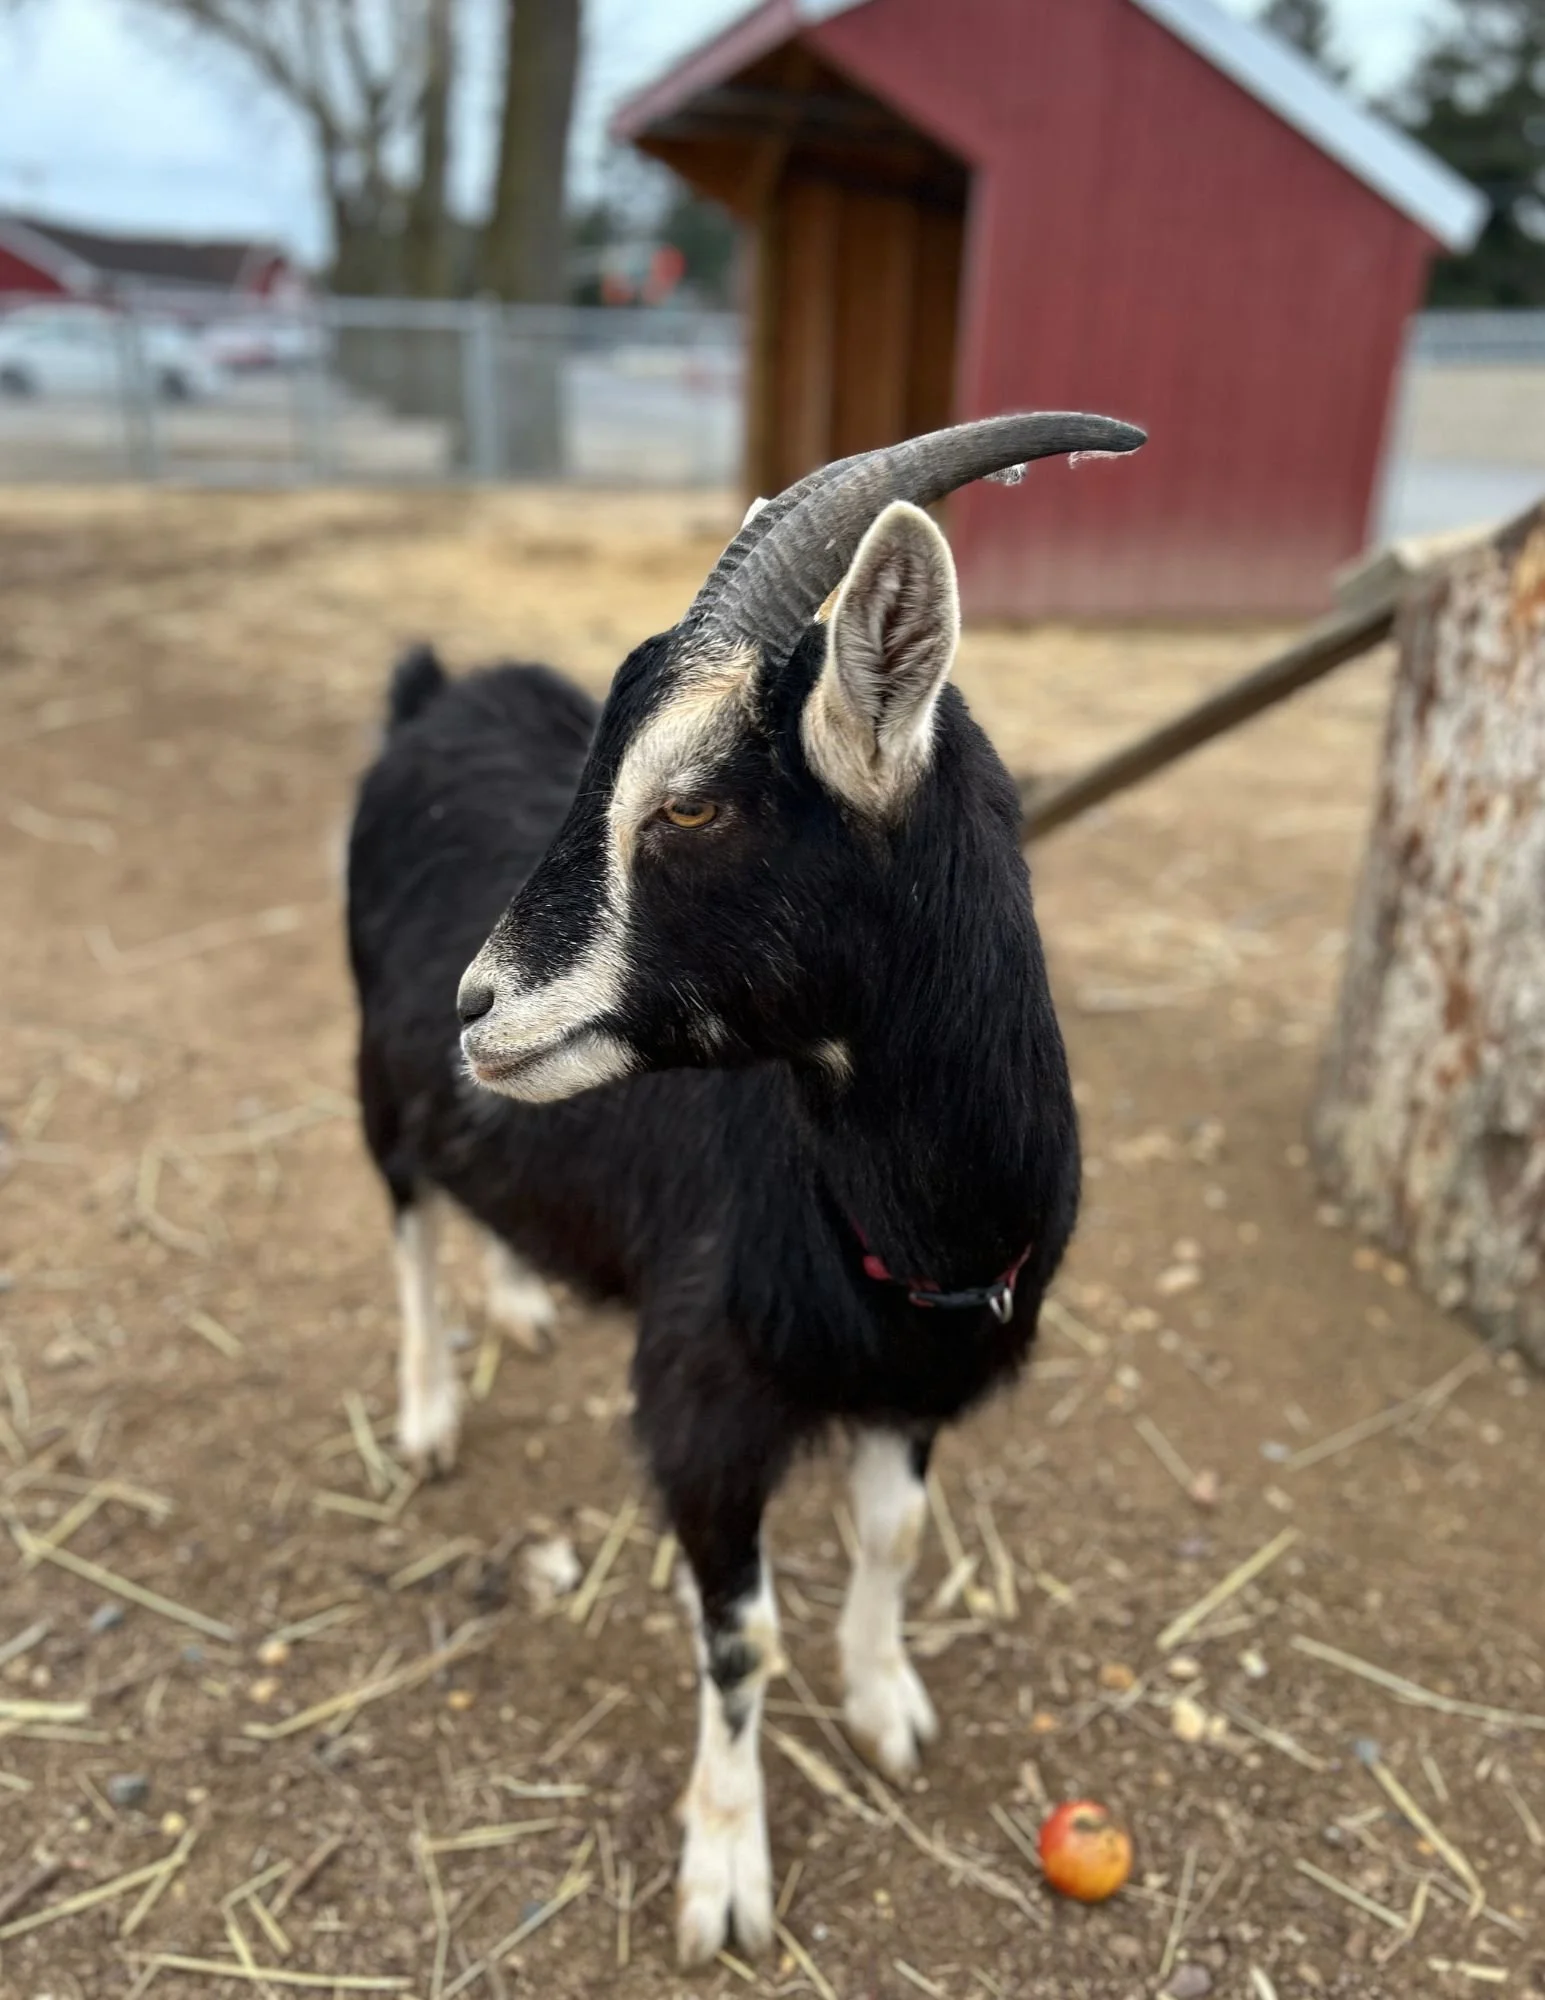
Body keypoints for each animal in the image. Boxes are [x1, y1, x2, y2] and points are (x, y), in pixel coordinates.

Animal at [345, 413, 1145, 1965]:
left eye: (690, 801)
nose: (479, 1005)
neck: (902, 1221)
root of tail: (427, 698)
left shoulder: (917, 1374)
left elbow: (894, 1534)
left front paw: (886, 1702)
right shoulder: (705, 1400)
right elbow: (740, 1632)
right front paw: (723, 1871)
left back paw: (520, 1295)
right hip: (374, 1068)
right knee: (407, 1217)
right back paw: (426, 1410)